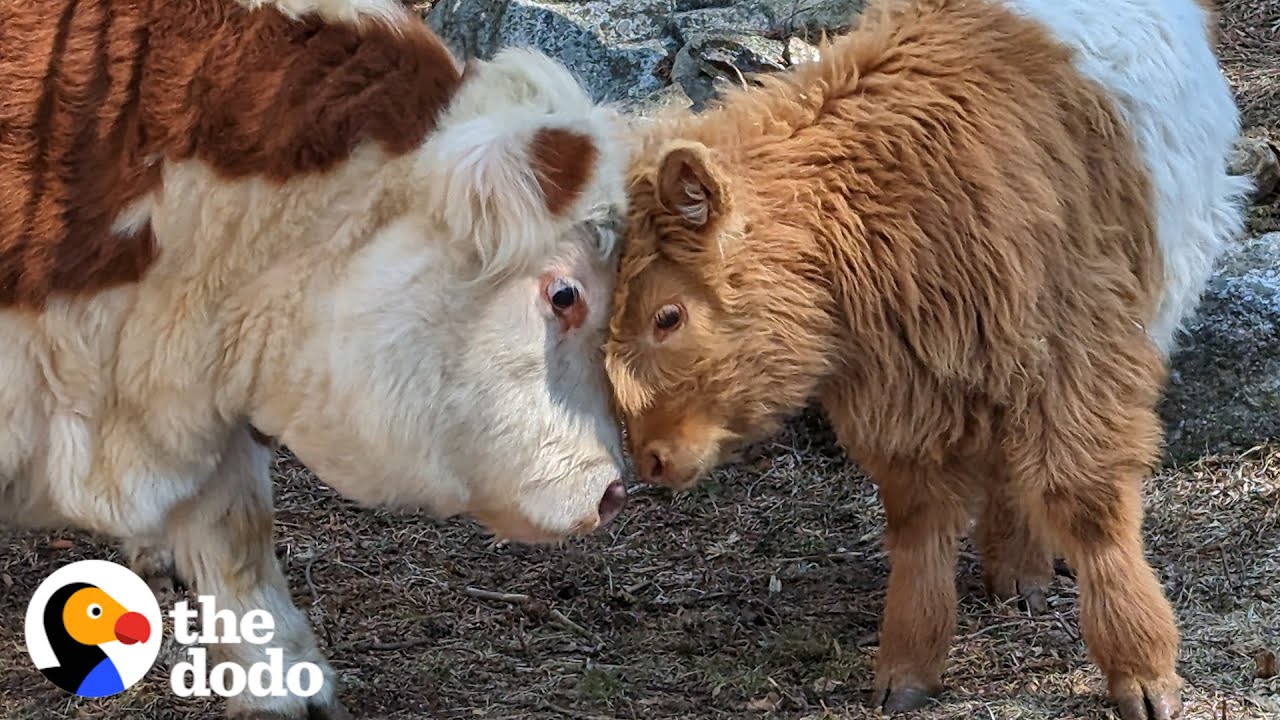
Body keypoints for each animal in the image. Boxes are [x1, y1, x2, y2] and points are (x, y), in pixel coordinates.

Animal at [602, 0, 1251, 718]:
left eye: (669, 315)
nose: (650, 459)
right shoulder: (904, 397)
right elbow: (919, 525)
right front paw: (907, 669)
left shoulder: (1075, 356)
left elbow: (1088, 504)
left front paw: (1144, 675)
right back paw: (1016, 569)